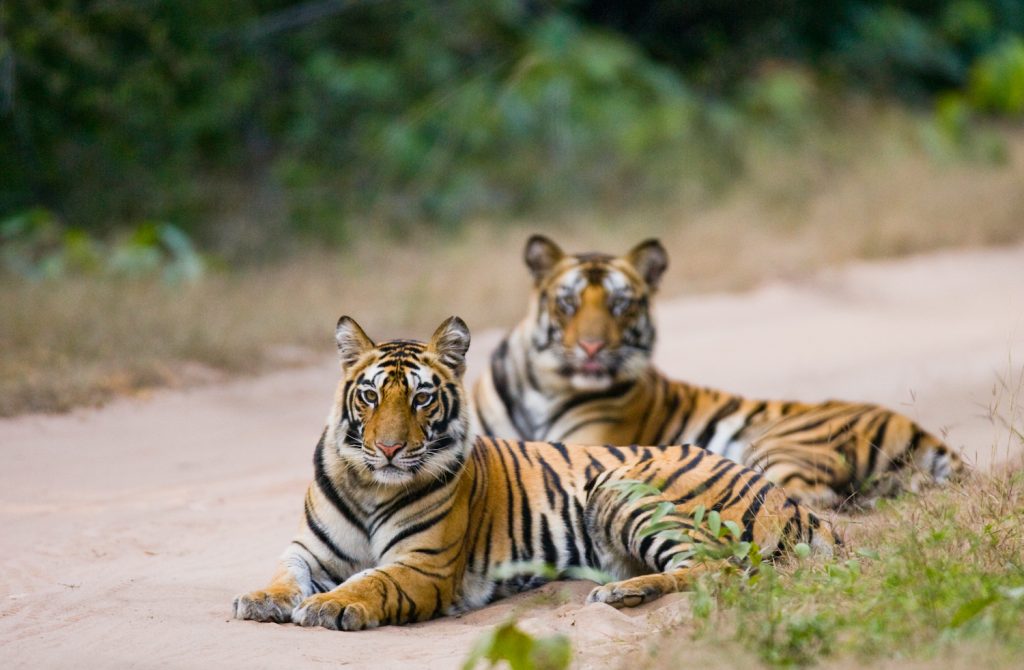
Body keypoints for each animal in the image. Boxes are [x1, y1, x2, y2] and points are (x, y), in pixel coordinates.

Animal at [232, 315, 836, 630]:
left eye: (422, 398)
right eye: (370, 396)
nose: (387, 449)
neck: (368, 486)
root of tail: (794, 503)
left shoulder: (422, 566)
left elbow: (370, 580)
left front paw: (330, 606)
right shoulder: (309, 550)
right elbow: (286, 574)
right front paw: (260, 599)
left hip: (623, 490)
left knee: (719, 570)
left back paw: (620, 595)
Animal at [472, 235, 965, 509]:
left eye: (620, 304)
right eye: (568, 302)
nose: (592, 346)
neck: (542, 386)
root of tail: (917, 428)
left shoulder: (586, 445)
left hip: (780, 445)